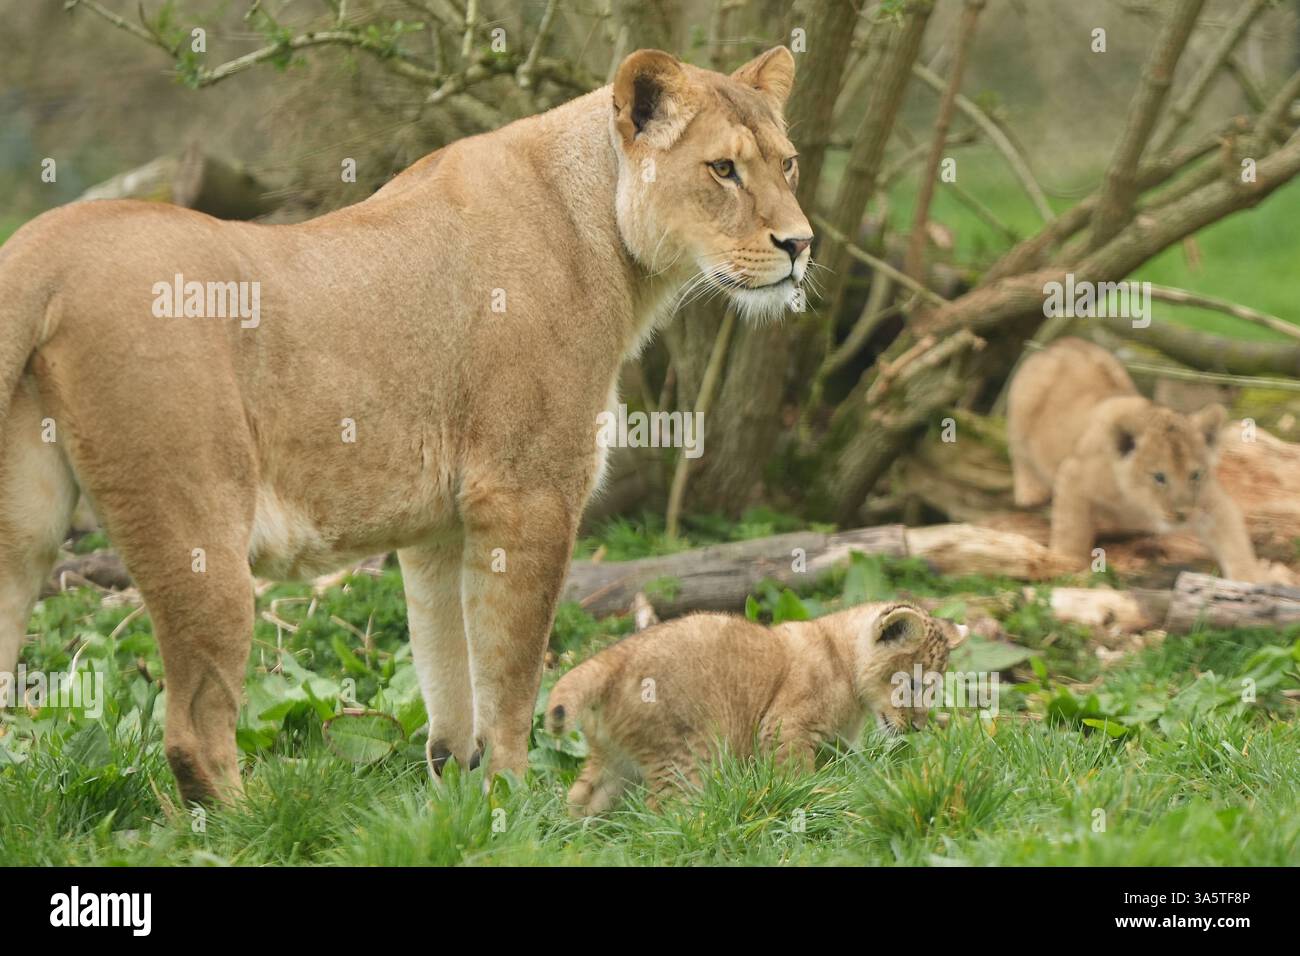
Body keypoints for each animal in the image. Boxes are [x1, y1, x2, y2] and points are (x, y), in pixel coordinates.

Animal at [0, 47, 813, 804]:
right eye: (723, 170)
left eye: (789, 164)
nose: (801, 245)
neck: (604, 231)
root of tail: (41, 244)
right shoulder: (527, 493)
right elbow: (511, 671)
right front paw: (519, 802)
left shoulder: (439, 526)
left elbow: (448, 670)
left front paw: (457, 793)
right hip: (197, 529)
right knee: (193, 733)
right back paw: (250, 819)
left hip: (24, 535)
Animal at [1007, 337, 1272, 582]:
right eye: (1159, 477)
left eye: (1195, 475)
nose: (1183, 514)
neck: (1140, 503)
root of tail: (1066, 341)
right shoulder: (1073, 474)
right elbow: (1071, 530)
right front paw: (1067, 563)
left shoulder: (1209, 500)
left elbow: (1235, 539)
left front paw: (1251, 579)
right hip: (1021, 410)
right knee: (1019, 454)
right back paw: (1030, 492)